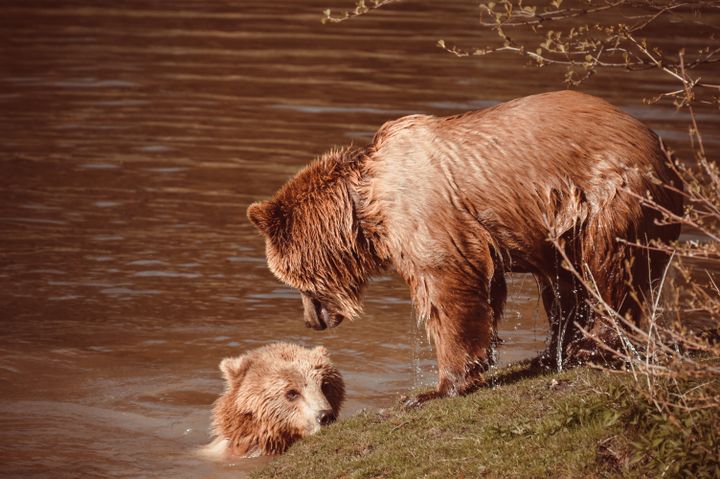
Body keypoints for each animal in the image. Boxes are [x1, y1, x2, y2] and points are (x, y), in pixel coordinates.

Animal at [246, 91, 683, 405]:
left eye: (289, 278)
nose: (311, 321)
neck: (365, 209)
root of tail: (665, 152)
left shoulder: (429, 215)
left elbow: (448, 288)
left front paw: (435, 389)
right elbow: (488, 289)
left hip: (609, 195)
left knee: (607, 269)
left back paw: (591, 347)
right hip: (563, 224)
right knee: (564, 284)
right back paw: (552, 353)